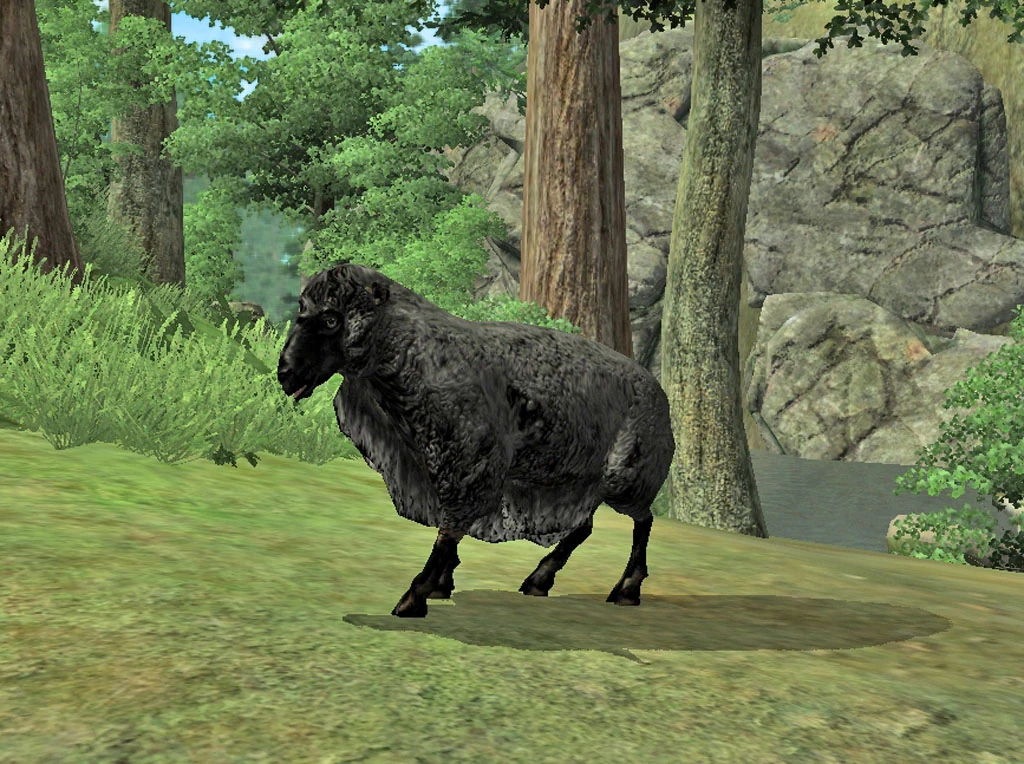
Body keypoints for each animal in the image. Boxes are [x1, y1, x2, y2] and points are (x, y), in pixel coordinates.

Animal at [277, 263, 675, 617]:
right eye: (302, 312)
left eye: (331, 319)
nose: (286, 373)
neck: (414, 352)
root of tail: (659, 392)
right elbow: (452, 535)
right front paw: (440, 586)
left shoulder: (468, 468)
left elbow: (448, 534)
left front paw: (414, 598)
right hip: (582, 482)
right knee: (586, 527)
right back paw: (538, 581)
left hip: (625, 479)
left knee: (643, 521)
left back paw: (626, 591)